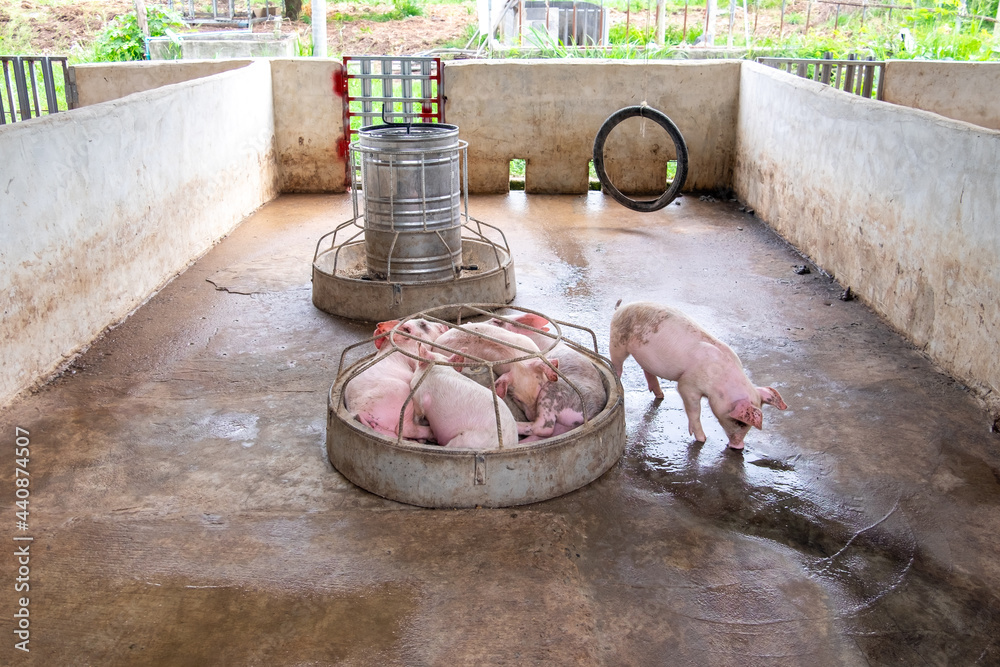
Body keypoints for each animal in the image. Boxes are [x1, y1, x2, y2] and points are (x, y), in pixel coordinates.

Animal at [609, 301, 787, 450]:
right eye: (740, 423)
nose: (739, 447)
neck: (719, 381)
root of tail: (621, 308)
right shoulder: (687, 385)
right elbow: (694, 411)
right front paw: (702, 439)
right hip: (617, 343)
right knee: (617, 365)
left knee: (648, 371)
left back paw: (661, 395)